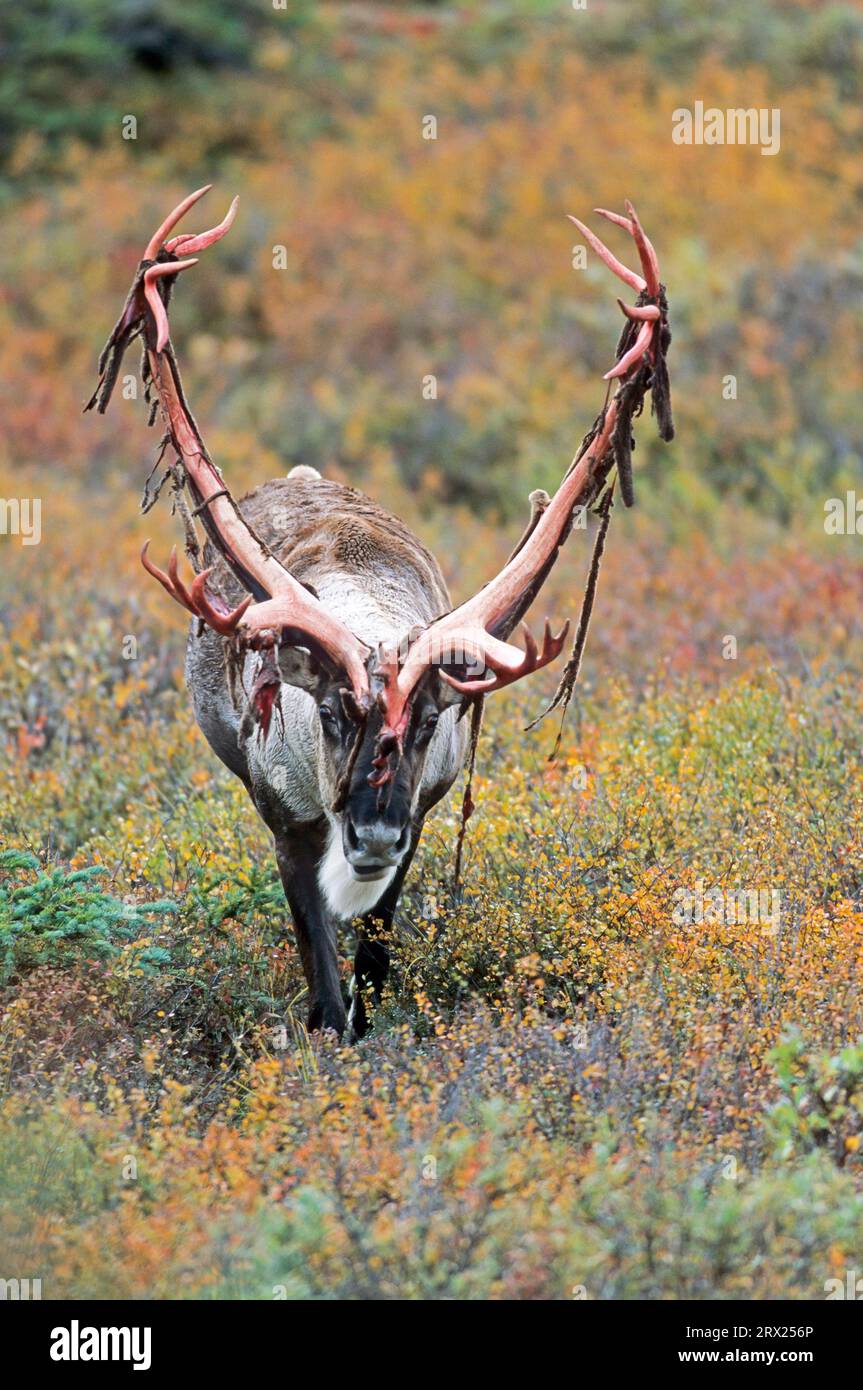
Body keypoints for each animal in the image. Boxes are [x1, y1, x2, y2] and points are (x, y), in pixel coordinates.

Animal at [87, 186, 672, 1040]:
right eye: (332, 713)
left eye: (427, 721)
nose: (370, 833)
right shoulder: (286, 820)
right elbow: (322, 972)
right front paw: (328, 1033)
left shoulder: (420, 814)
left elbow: (375, 956)